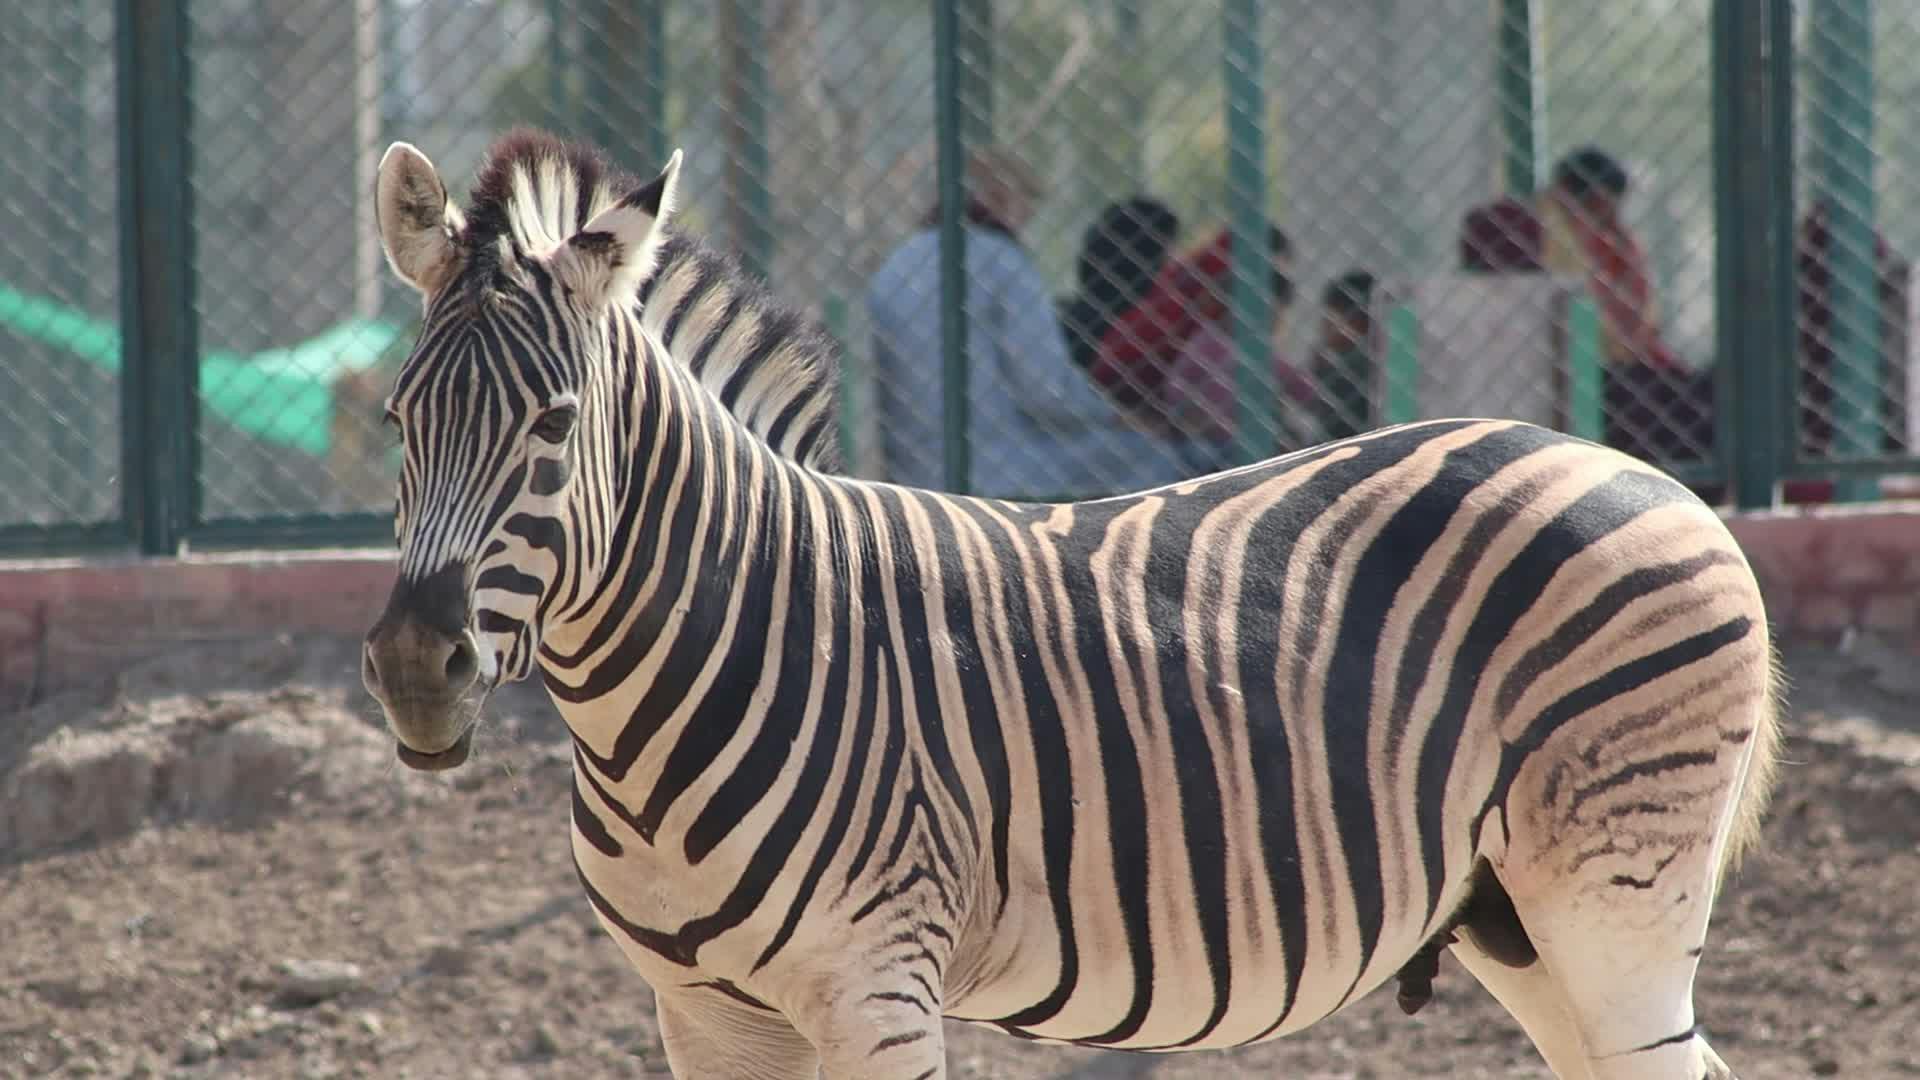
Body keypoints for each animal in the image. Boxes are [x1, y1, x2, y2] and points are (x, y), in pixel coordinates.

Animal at [361, 128, 1781, 1080]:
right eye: (395, 422)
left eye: (553, 427)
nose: (417, 670)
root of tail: (1651, 473)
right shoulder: (703, 1009)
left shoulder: (877, 987)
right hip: (1512, 915)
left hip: (1612, 897)